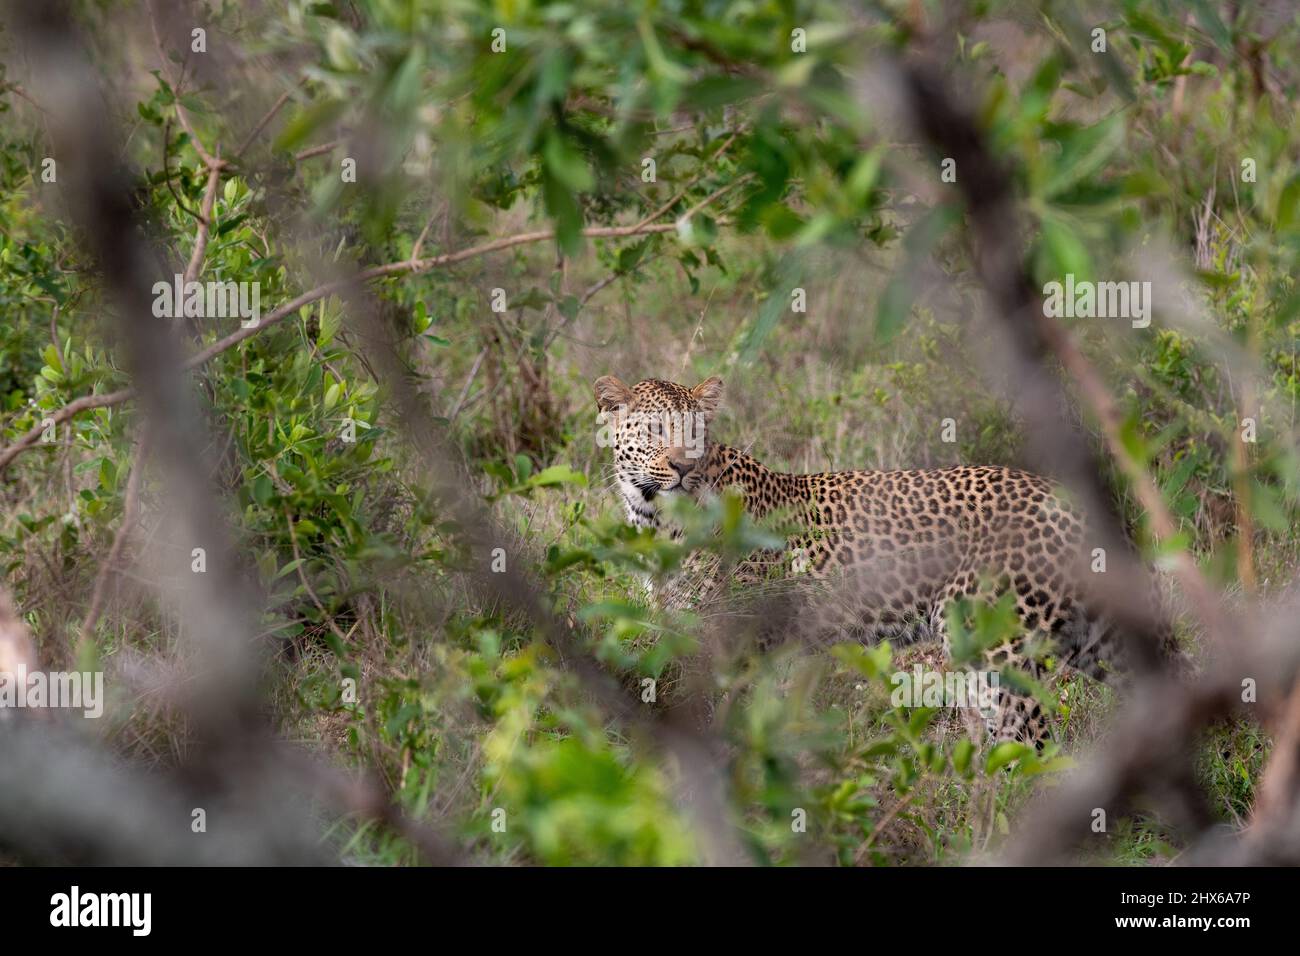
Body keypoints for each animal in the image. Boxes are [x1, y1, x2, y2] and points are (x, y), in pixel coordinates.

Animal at [594, 373, 1175, 748]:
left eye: (696, 434)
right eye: (655, 432)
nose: (683, 467)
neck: (653, 518)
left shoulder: (733, 640)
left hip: (995, 650)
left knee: (1034, 748)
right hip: (1092, 643)